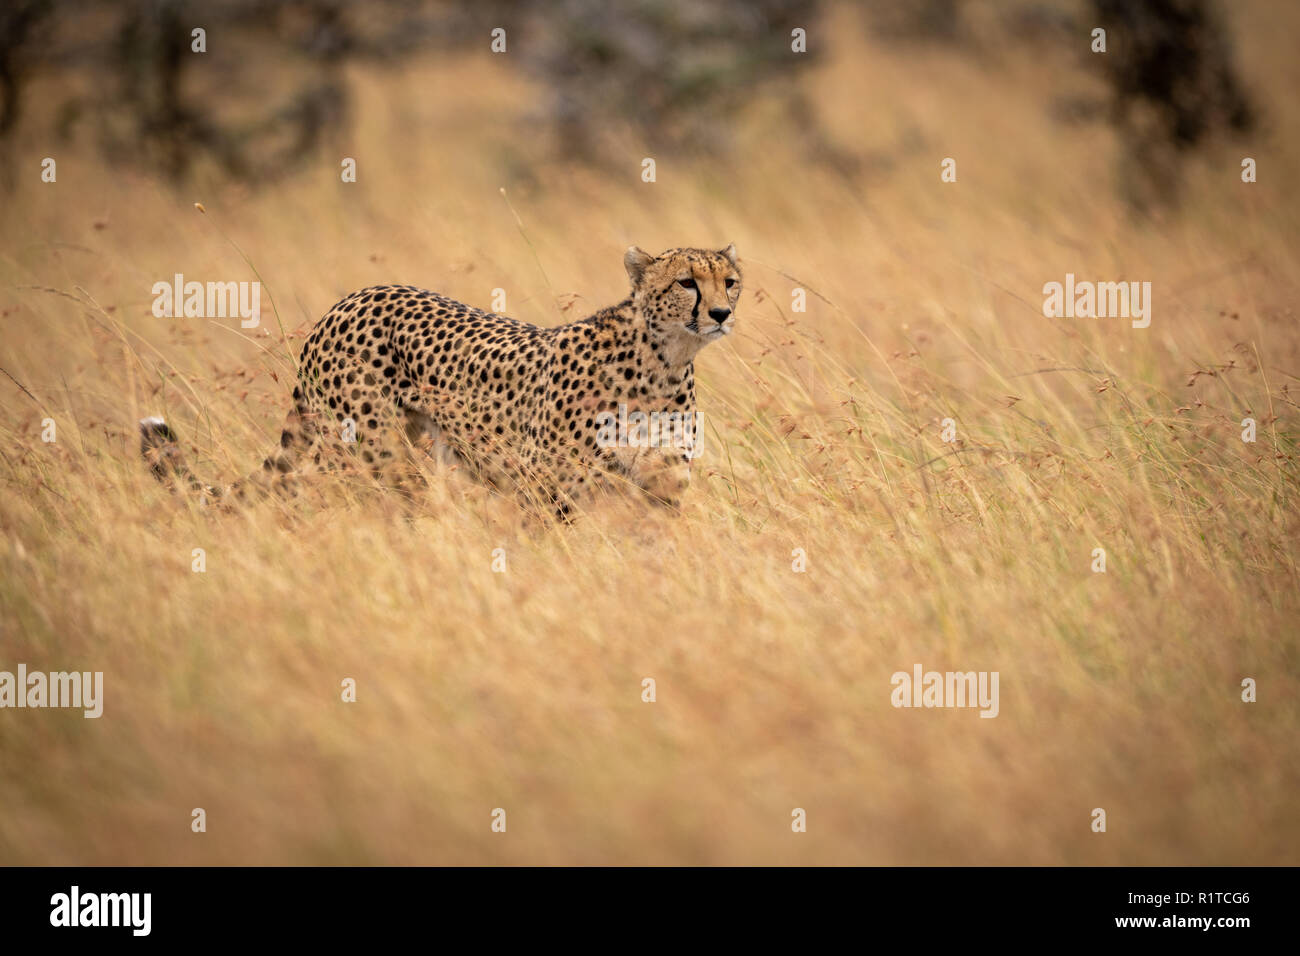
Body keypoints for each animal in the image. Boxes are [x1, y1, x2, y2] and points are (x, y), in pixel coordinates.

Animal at [140, 243, 742, 517]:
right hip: (371, 452)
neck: (662, 361)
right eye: (687, 282)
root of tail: (349, 300)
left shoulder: (661, 491)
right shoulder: (545, 488)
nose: (720, 314)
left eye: (730, 281)